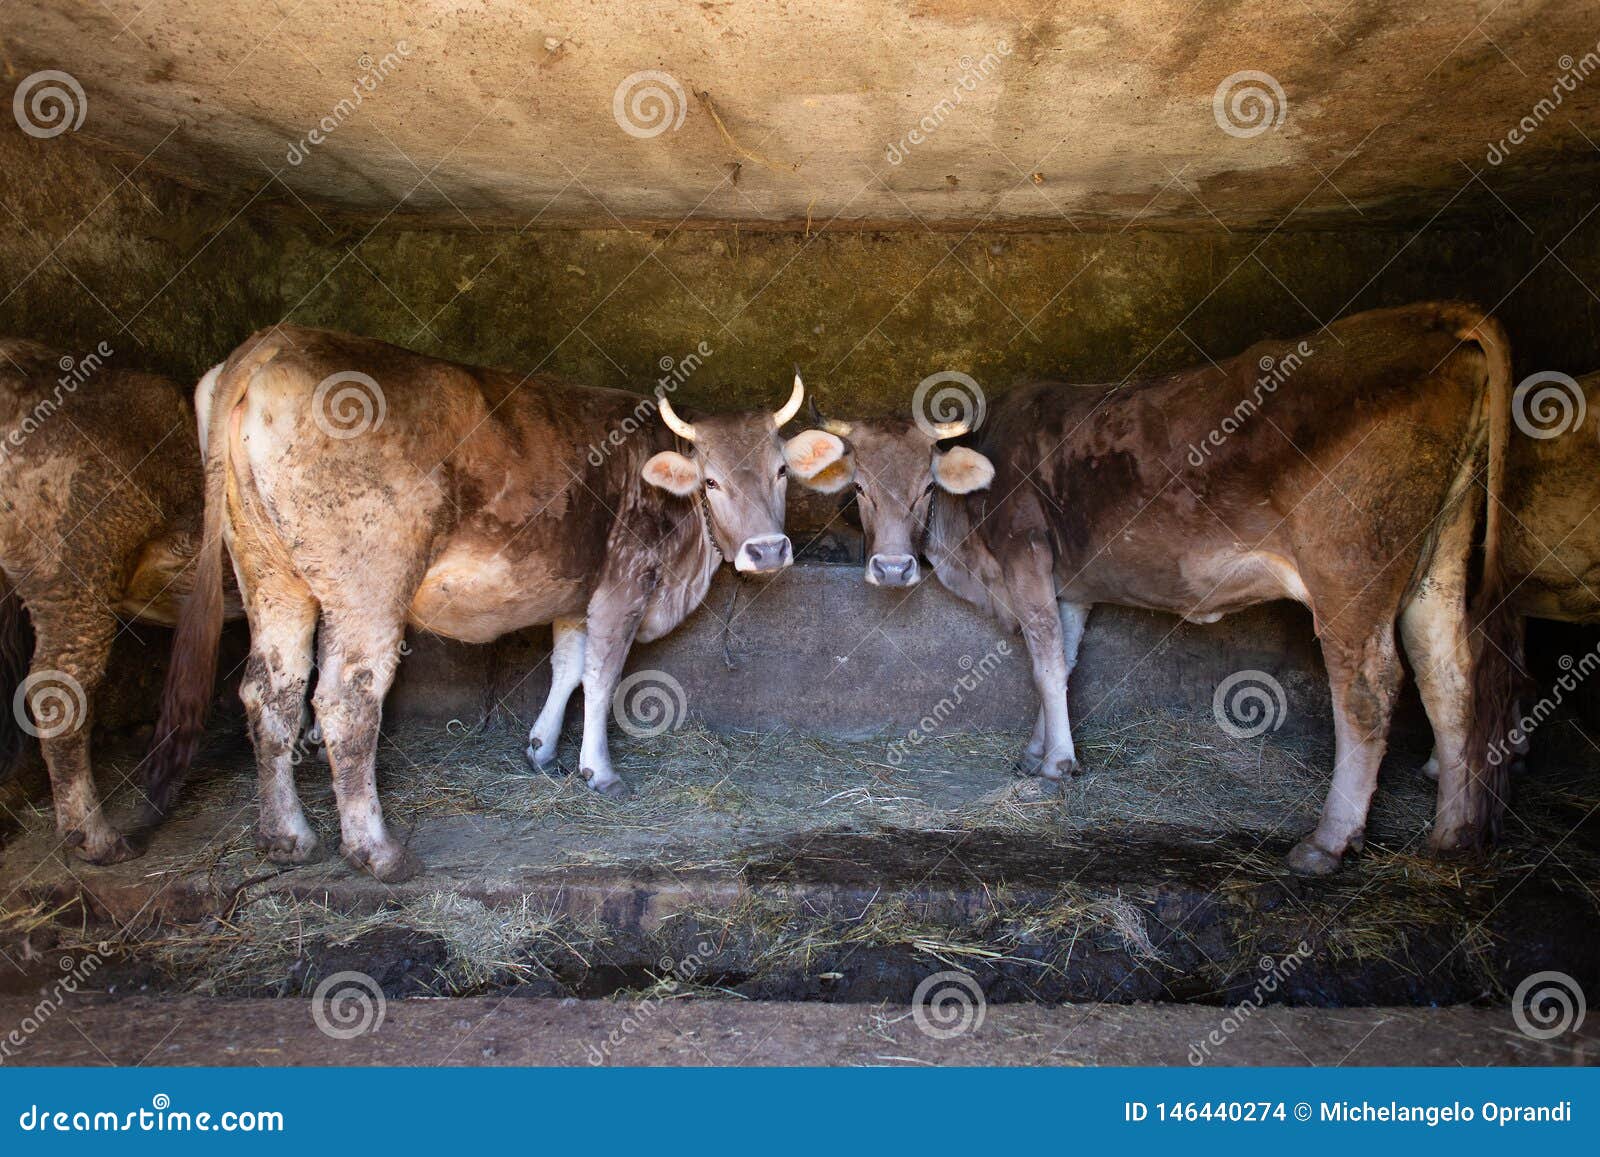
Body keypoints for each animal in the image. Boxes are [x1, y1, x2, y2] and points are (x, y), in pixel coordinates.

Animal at [146, 327, 846, 882]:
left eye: (782, 471)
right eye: (711, 482)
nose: (767, 550)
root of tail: (278, 340)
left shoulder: (576, 590)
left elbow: (568, 666)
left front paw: (541, 749)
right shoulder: (624, 582)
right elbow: (603, 676)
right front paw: (599, 771)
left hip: (270, 574)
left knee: (272, 691)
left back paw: (285, 836)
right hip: (368, 584)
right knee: (345, 700)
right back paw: (376, 851)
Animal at [805, 302, 1516, 875]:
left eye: (927, 487)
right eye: (860, 488)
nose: (893, 569)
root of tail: (1426, 318)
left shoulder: (1026, 555)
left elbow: (1041, 655)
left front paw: (1057, 766)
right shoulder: (1071, 584)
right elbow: (1063, 660)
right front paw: (1040, 749)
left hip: (1349, 570)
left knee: (1368, 690)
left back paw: (1328, 841)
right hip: (1439, 561)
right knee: (1448, 673)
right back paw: (1453, 832)